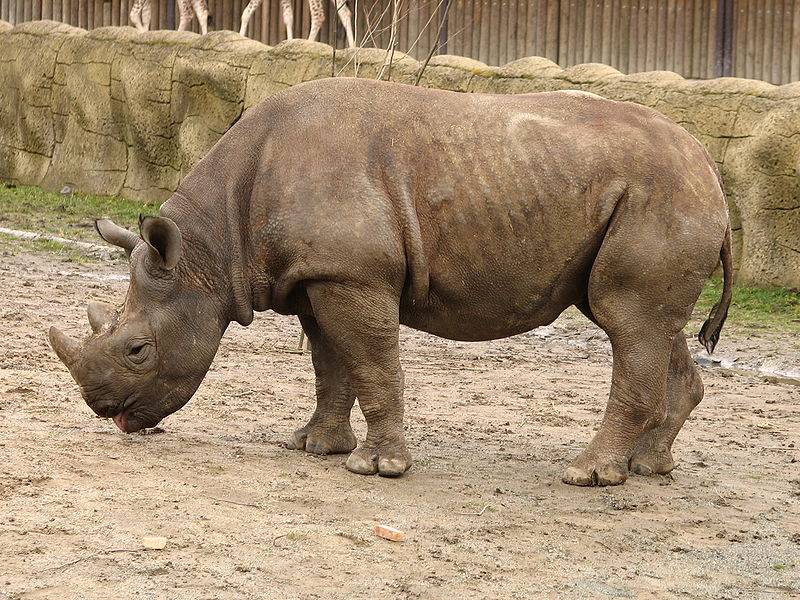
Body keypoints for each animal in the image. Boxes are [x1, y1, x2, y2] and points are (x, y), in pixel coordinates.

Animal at [49, 77, 732, 486]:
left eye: (138, 349)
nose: (103, 409)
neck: (212, 249)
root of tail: (711, 170)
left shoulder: (354, 275)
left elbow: (374, 364)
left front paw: (378, 468)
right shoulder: (318, 276)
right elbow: (332, 366)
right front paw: (314, 446)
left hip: (661, 194)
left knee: (628, 321)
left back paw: (587, 476)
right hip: (656, 196)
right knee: (646, 325)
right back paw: (649, 467)